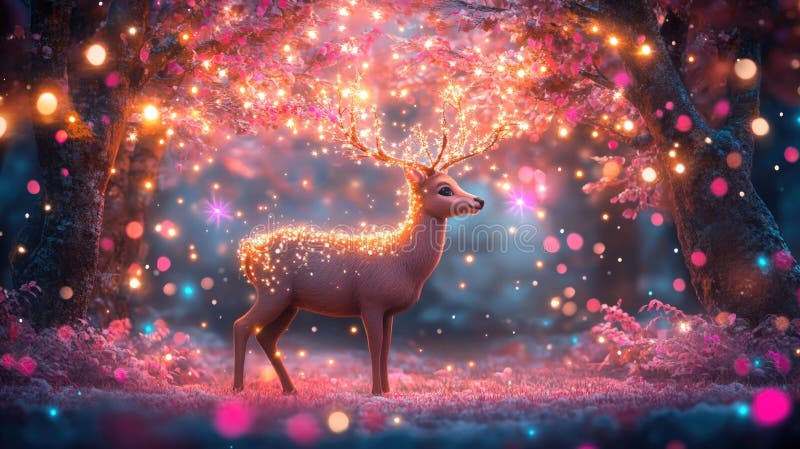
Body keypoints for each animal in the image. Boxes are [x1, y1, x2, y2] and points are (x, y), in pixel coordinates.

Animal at [234, 85, 515, 395]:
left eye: (455, 182)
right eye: (445, 189)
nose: (479, 200)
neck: (404, 262)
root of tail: (247, 253)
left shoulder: (389, 310)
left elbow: (387, 348)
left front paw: (388, 390)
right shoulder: (370, 299)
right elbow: (375, 345)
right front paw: (377, 391)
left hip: (289, 301)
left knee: (267, 337)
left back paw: (291, 389)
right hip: (273, 290)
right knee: (242, 325)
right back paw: (238, 388)